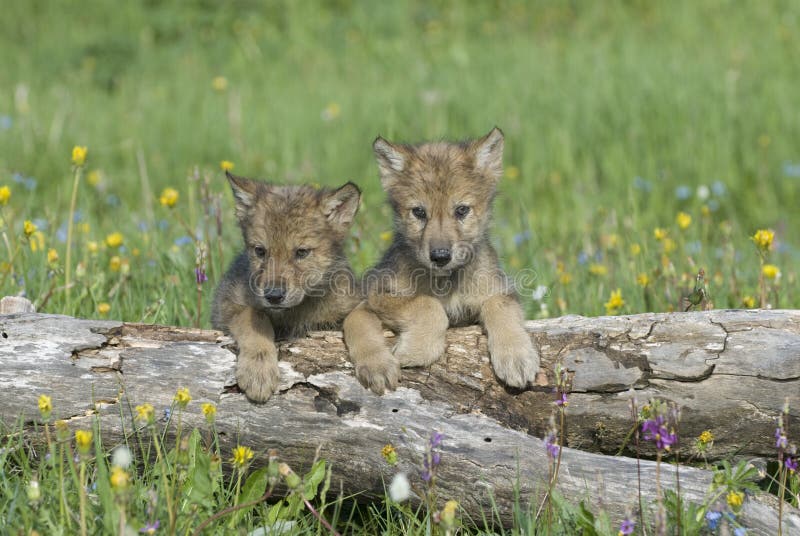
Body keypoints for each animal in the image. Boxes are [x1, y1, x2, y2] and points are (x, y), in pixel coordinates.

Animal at [212, 171, 361, 402]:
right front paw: (258, 371)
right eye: (260, 251)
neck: (293, 314)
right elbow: (255, 317)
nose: (273, 295)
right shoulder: (227, 305)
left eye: (301, 252)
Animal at [343, 127, 540, 394]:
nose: (440, 257)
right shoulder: (377, 295)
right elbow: (429, 304)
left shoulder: (499, 290)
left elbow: (500, 306)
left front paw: (516, 357)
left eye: (461, 210)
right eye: (419, 212)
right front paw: (417, 350)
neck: (446, 283)